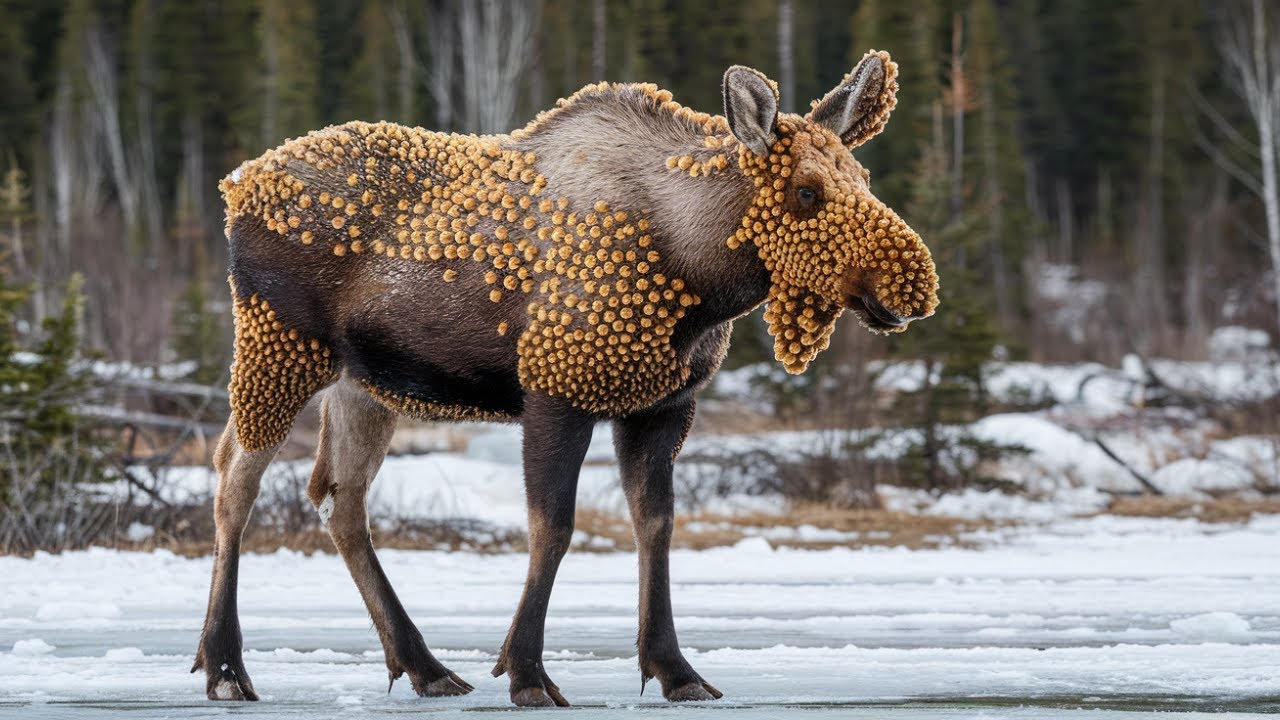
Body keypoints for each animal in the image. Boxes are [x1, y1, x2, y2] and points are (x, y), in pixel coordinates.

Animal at [193, 49, 938, 708]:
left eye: (864, 178)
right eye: (807, 192)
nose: (912, 288)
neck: (700, 278)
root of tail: (234, 185)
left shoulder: (663, 406)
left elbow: (656, 524)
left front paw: (674, 669)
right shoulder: (558, 391)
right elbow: (552, 527)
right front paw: (527, 672)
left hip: (365, 384)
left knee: (338, 496)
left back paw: (424, 665)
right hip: (277, 345)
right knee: (234, 478)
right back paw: (225, 666)